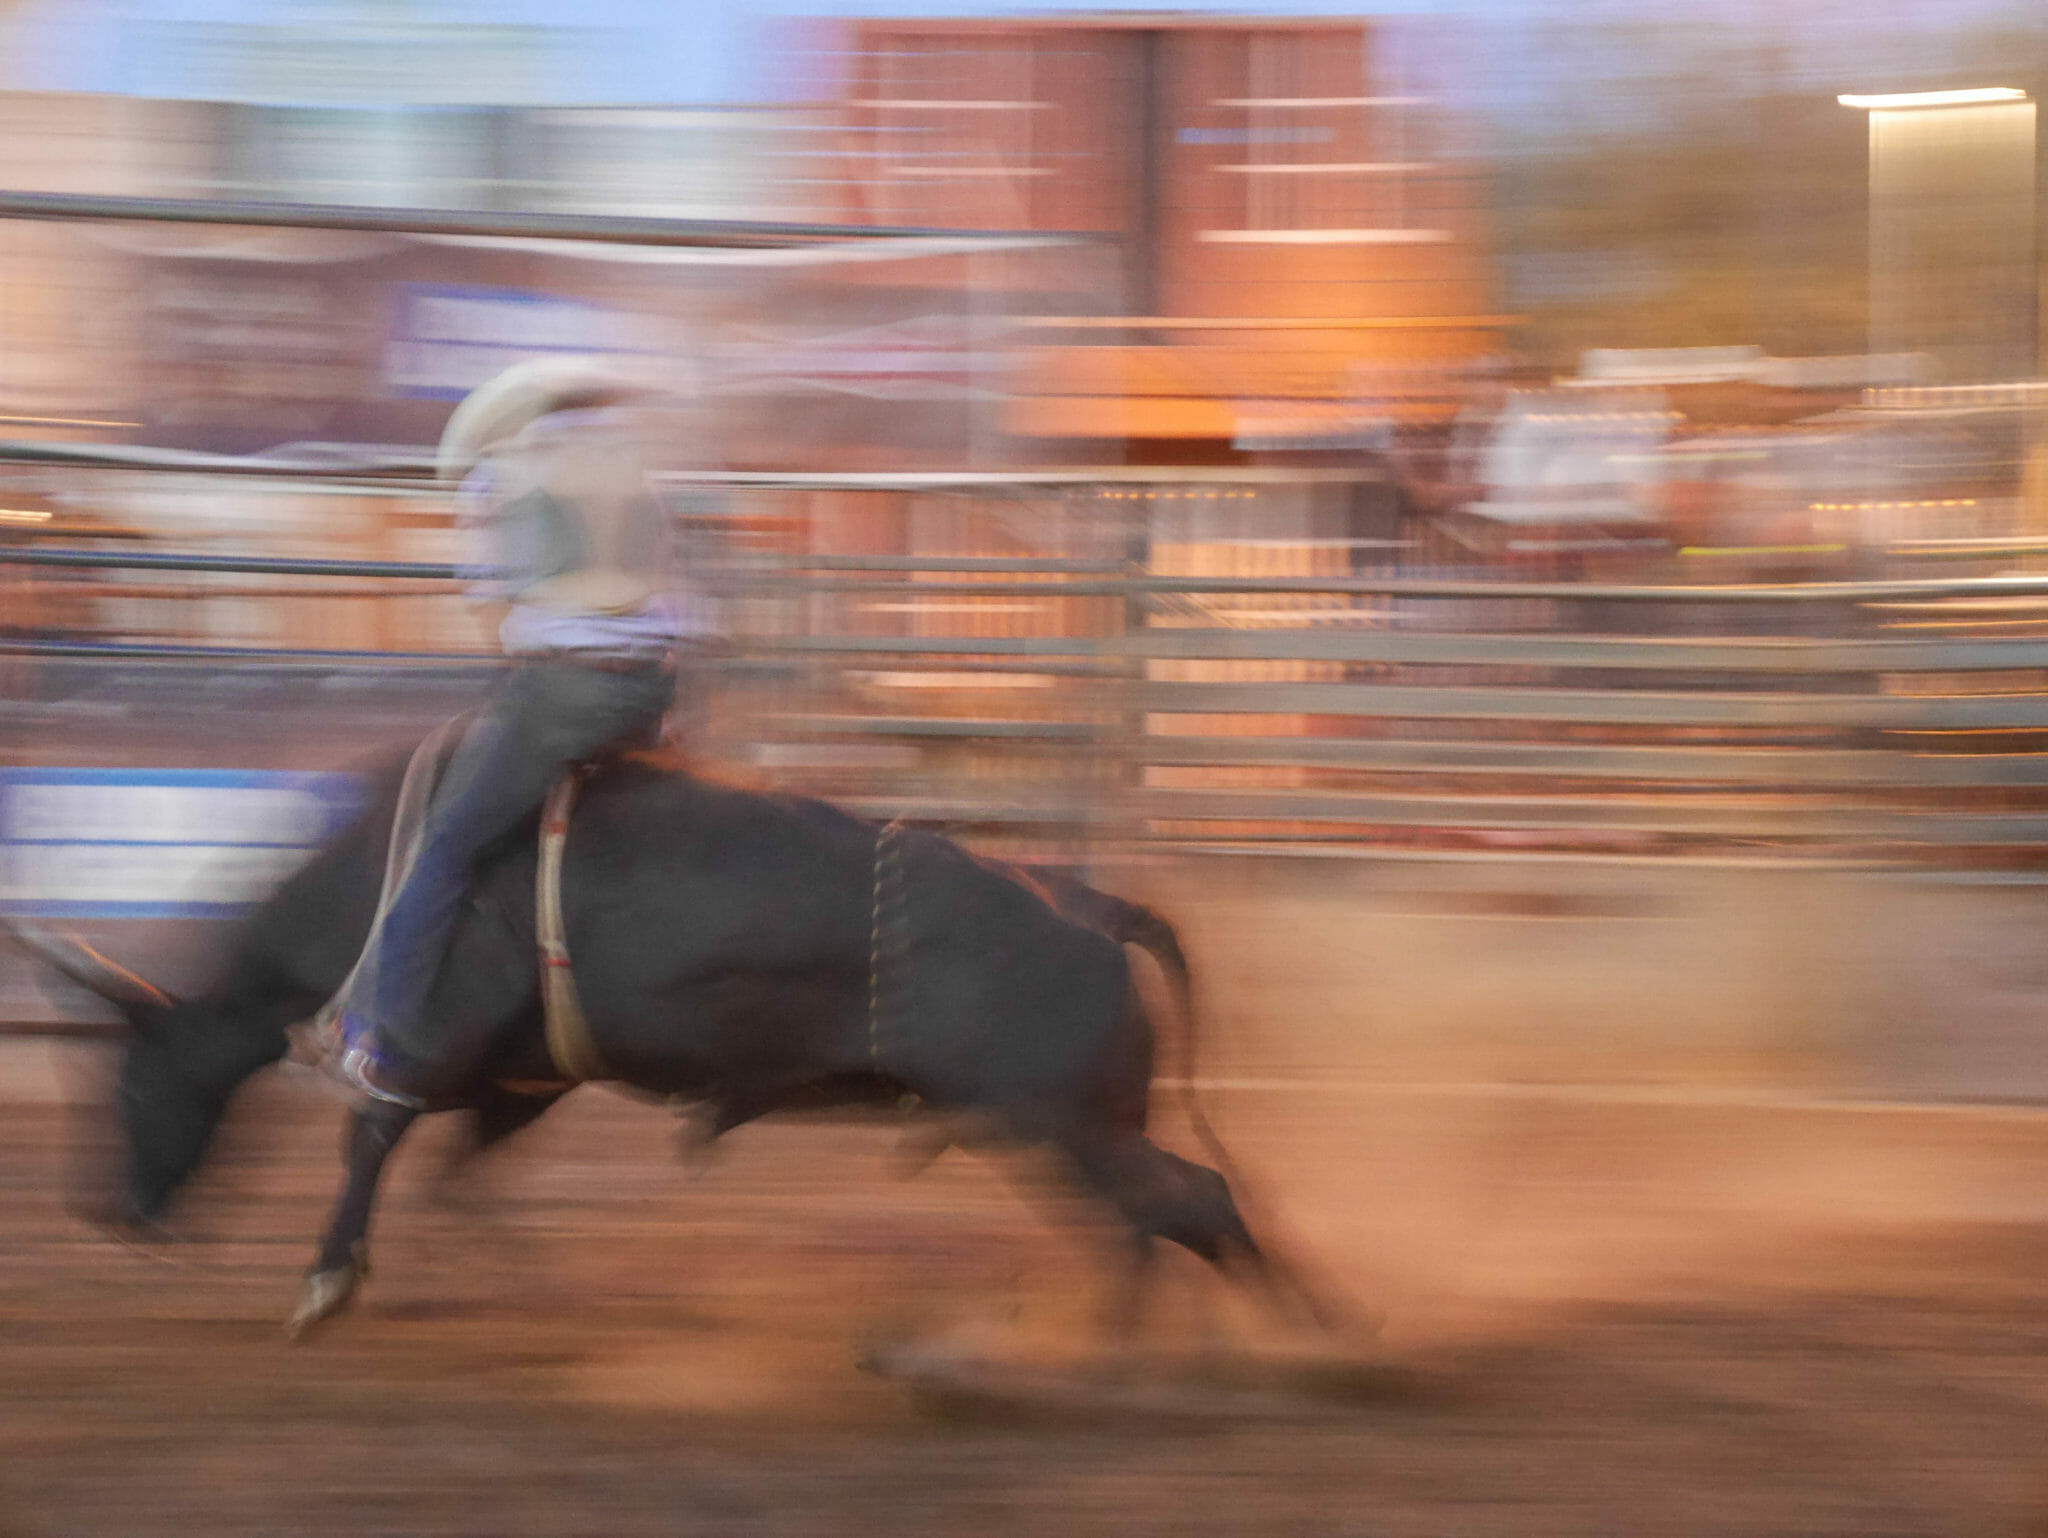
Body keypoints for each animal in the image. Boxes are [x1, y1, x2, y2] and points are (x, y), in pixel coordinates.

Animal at [11, 754, 1335, 1341]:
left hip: (1061, 1122)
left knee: (1164, 1210)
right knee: (1186, 1204)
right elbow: (461, 1174)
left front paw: (330, 1276)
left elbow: (372, 1136)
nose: (107, 1212)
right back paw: (1294, 1342)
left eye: (130, 1081)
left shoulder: (434, 1038)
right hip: (1067, 1124)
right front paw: (526, 1280)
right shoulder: (519, 1082)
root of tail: (1087, 905)